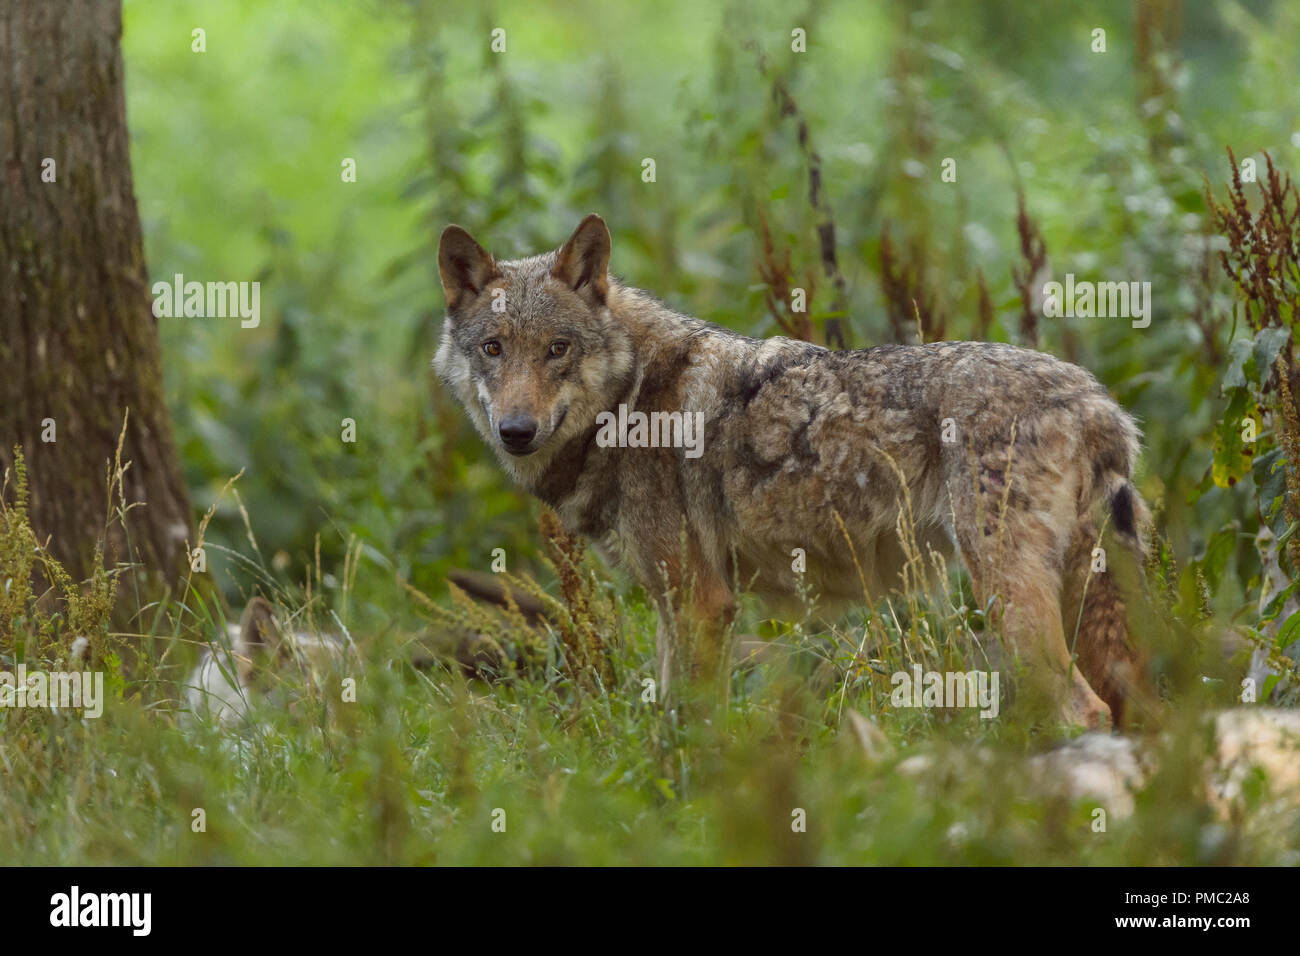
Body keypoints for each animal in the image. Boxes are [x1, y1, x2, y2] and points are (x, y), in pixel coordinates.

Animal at [433, 214, 1151, 728]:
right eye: (493, 349)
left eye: (557, 350)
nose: (516, 431)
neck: (629, 399)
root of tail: (1097, 399)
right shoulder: (674, 606)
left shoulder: (701, 603)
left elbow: (692, 728)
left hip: (1009, 597)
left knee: (1086, 710)